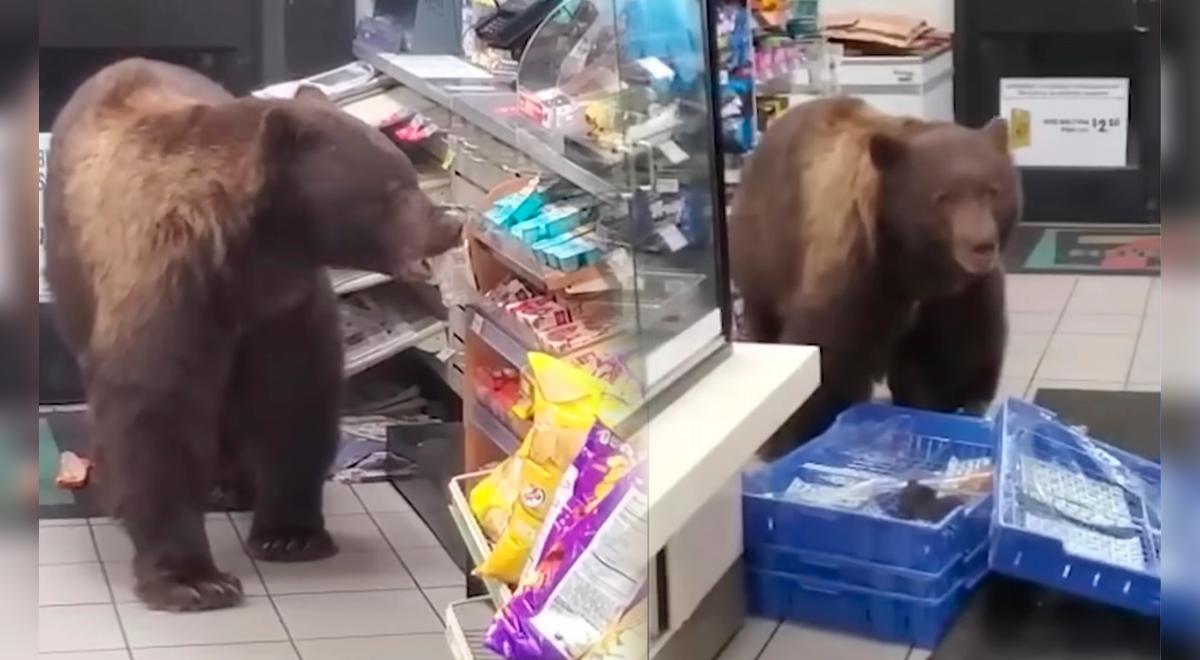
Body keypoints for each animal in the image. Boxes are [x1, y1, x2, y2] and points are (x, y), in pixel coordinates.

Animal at [43, 58, 463, 612]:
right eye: (395, 187)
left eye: (409, 175)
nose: (451, 224)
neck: (243, 259)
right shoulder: (166, 294)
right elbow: (155, 416)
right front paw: (194, 579)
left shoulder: (284, 309)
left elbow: (292, 400)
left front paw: (290, 534)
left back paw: (232, 485)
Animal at [730, 97, 1020, 459]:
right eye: (943, 197)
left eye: (992, 190)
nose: (981, 244)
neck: (914, 267)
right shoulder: (858, 279)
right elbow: (828, 364)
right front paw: (805, 433)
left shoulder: (956, 298)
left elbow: (951, 362)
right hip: (764, 258)